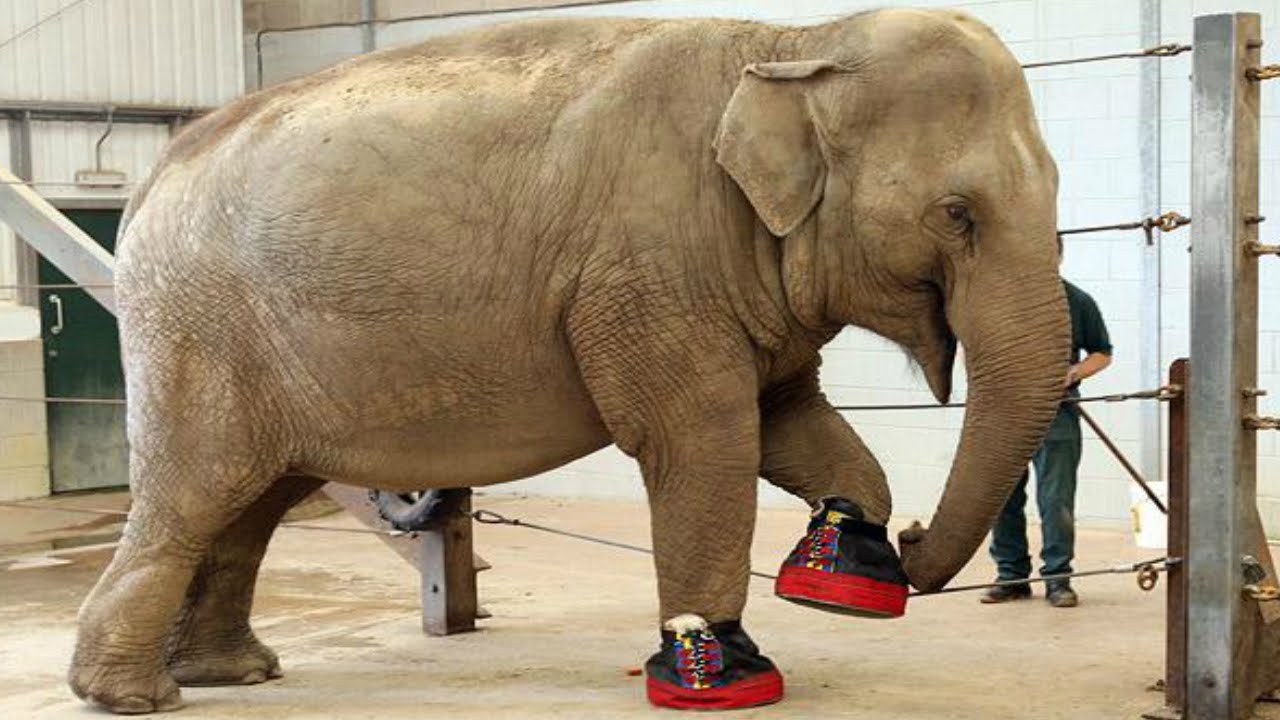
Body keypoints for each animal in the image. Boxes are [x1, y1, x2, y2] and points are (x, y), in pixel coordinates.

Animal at [70, 7, 1069, 714]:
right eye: (958, 214)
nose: (915, 548)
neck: (795, 44)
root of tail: (152, 175)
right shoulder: (649, 270)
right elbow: (702, 442)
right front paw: (721, 675)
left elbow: (792, 421)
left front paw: (841, 577)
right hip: (199, 338)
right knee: (194, 496)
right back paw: (133, 697)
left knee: (252, 505)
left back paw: (234, 674)